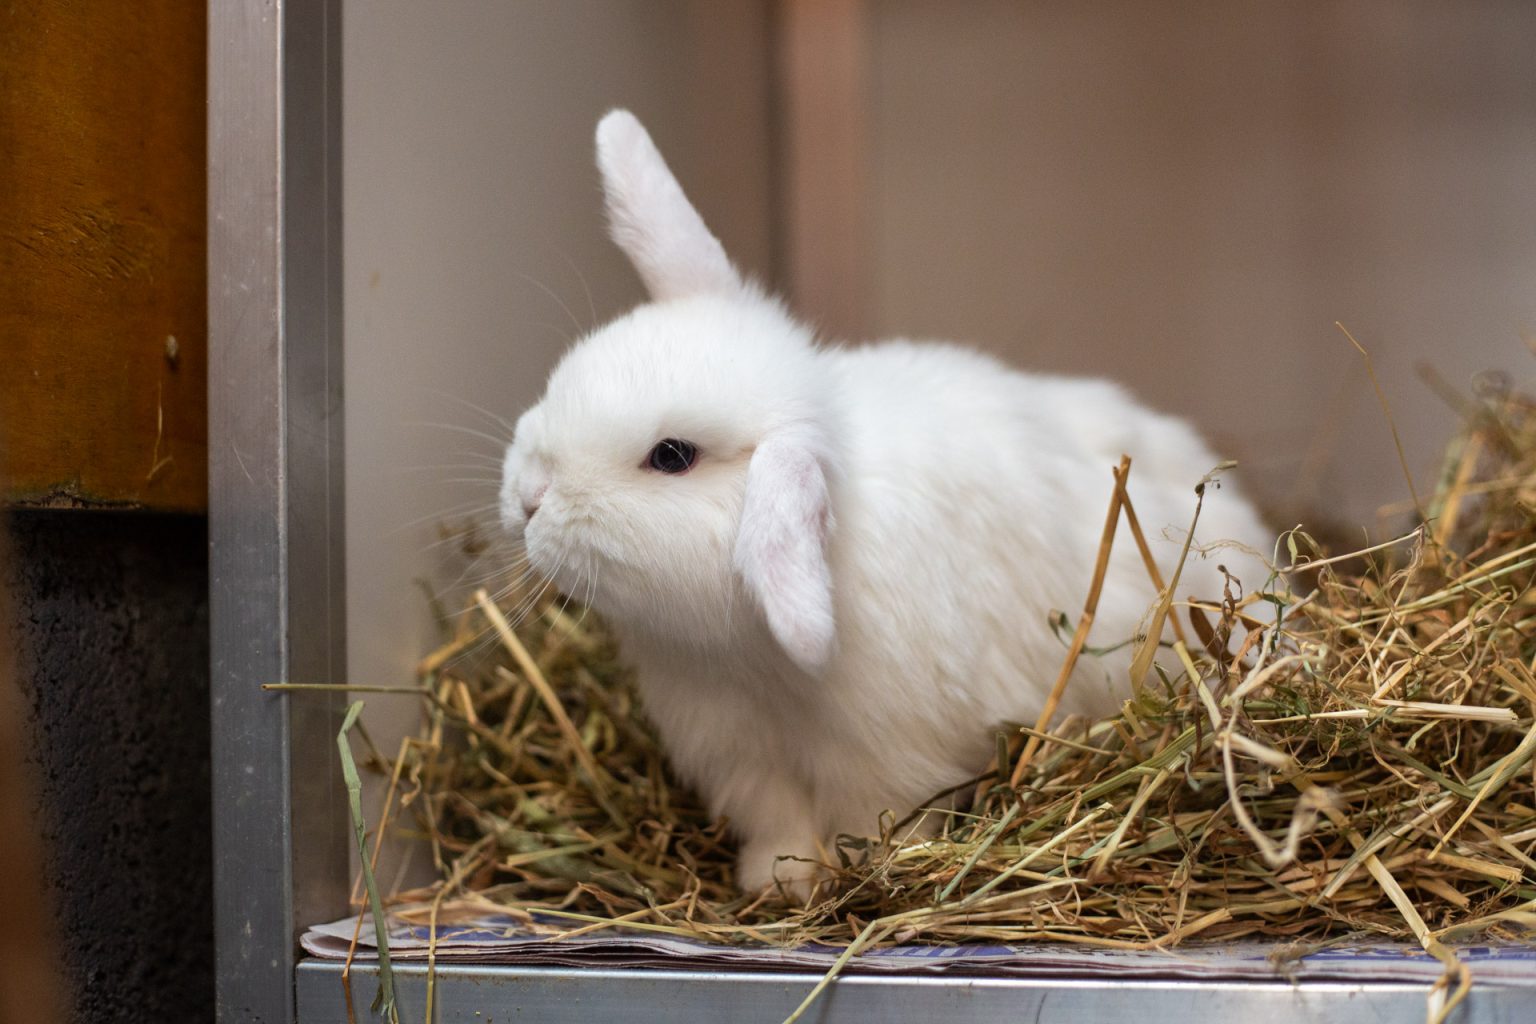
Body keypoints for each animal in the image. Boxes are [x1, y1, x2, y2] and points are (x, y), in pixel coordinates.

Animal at [498, 109, 1273, 899]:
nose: (527, 497)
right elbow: (778, 828)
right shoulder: (742, 759)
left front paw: (854, 874)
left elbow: (873, 821)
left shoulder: (888, 762)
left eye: (672, 456)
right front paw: (776, 883)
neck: (748, 661)